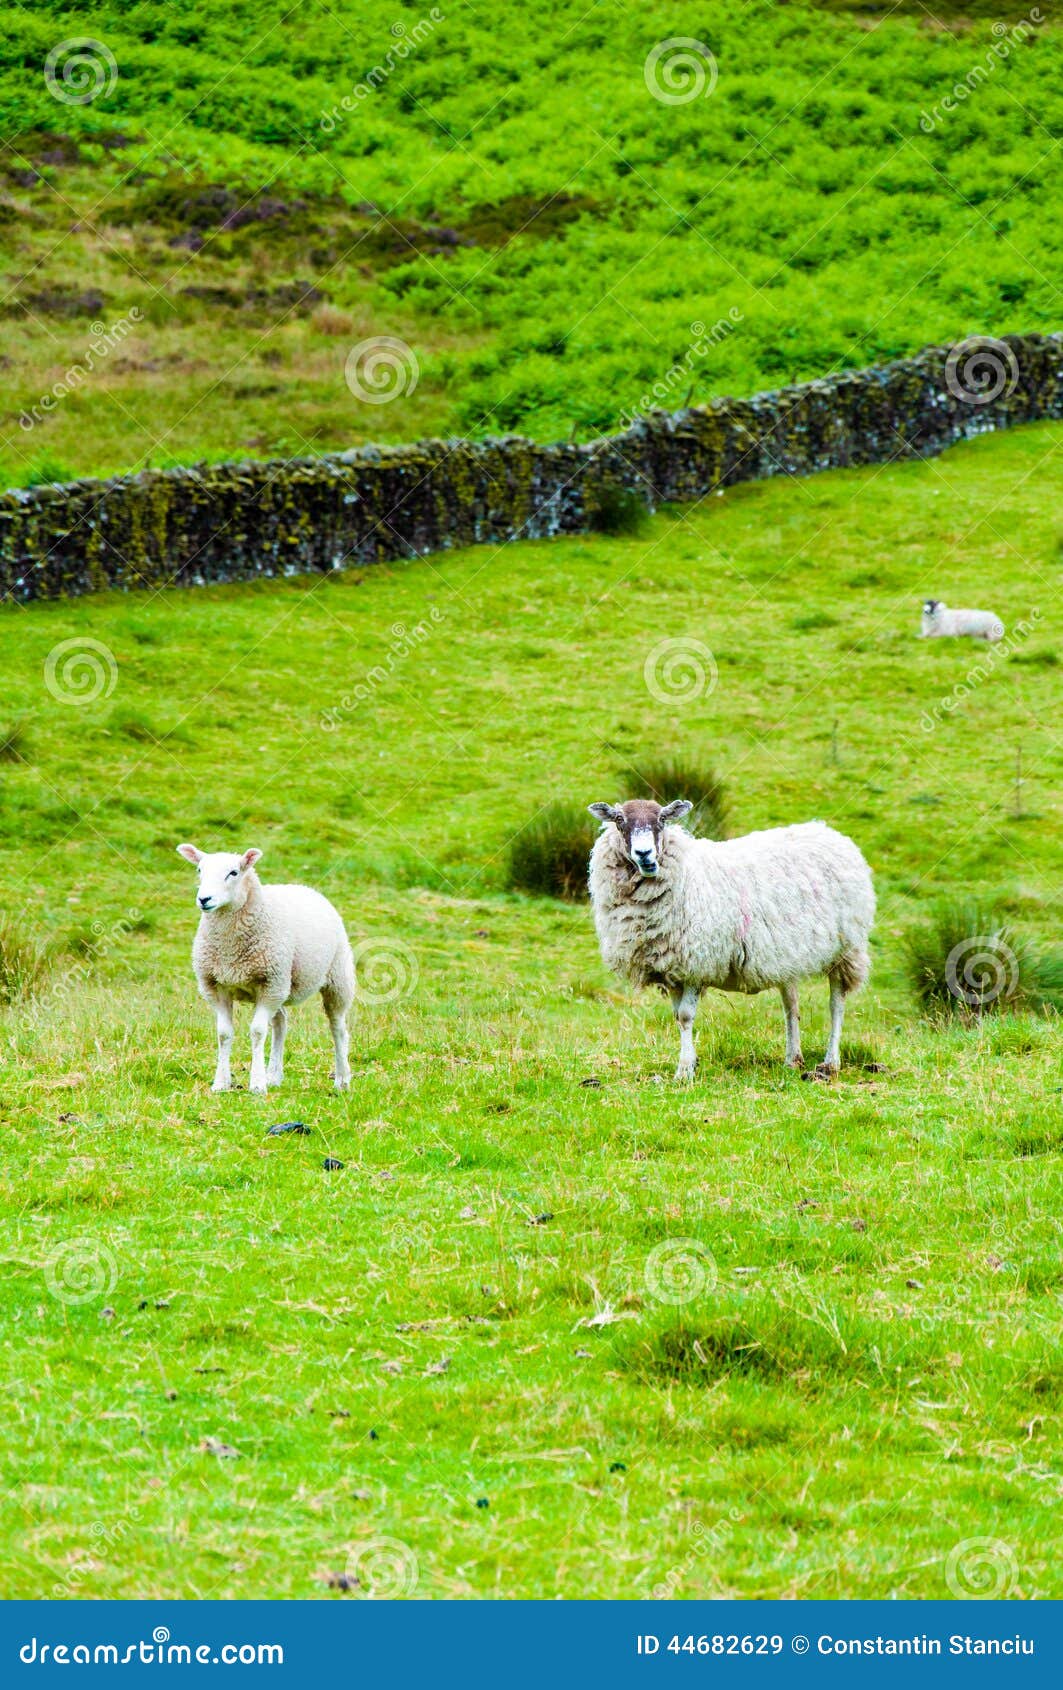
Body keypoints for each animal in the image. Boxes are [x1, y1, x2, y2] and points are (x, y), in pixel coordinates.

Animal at [176, 844, 354, 1094]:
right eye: (200, 870)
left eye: (233, 873)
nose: (204, 899)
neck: (230, 949)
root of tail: (304, 887)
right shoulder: (216, 985)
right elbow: (224, 1034)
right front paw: (221, 1083)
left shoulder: (269, 983)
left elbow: (258, 1031)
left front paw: (257, 1084)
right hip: (280, 985)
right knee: (280, 1024)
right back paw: (275, 1076)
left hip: (333, 978)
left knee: (337, 1028)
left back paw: (342, 1080)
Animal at [587, 799, 874, 1081]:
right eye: (619, 820)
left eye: (662, 820)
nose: (644, 854)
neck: (685, 874)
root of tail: (828, 832)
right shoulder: (671, 967)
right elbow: (677, 1017)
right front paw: (689, 1065)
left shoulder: (698, 962)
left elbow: (685, 1016)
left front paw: (684, 1071)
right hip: (786, 956)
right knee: (791, 1005)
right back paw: (793, 1059)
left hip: (846, 949)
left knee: (836, 1004)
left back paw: (831, 1062)